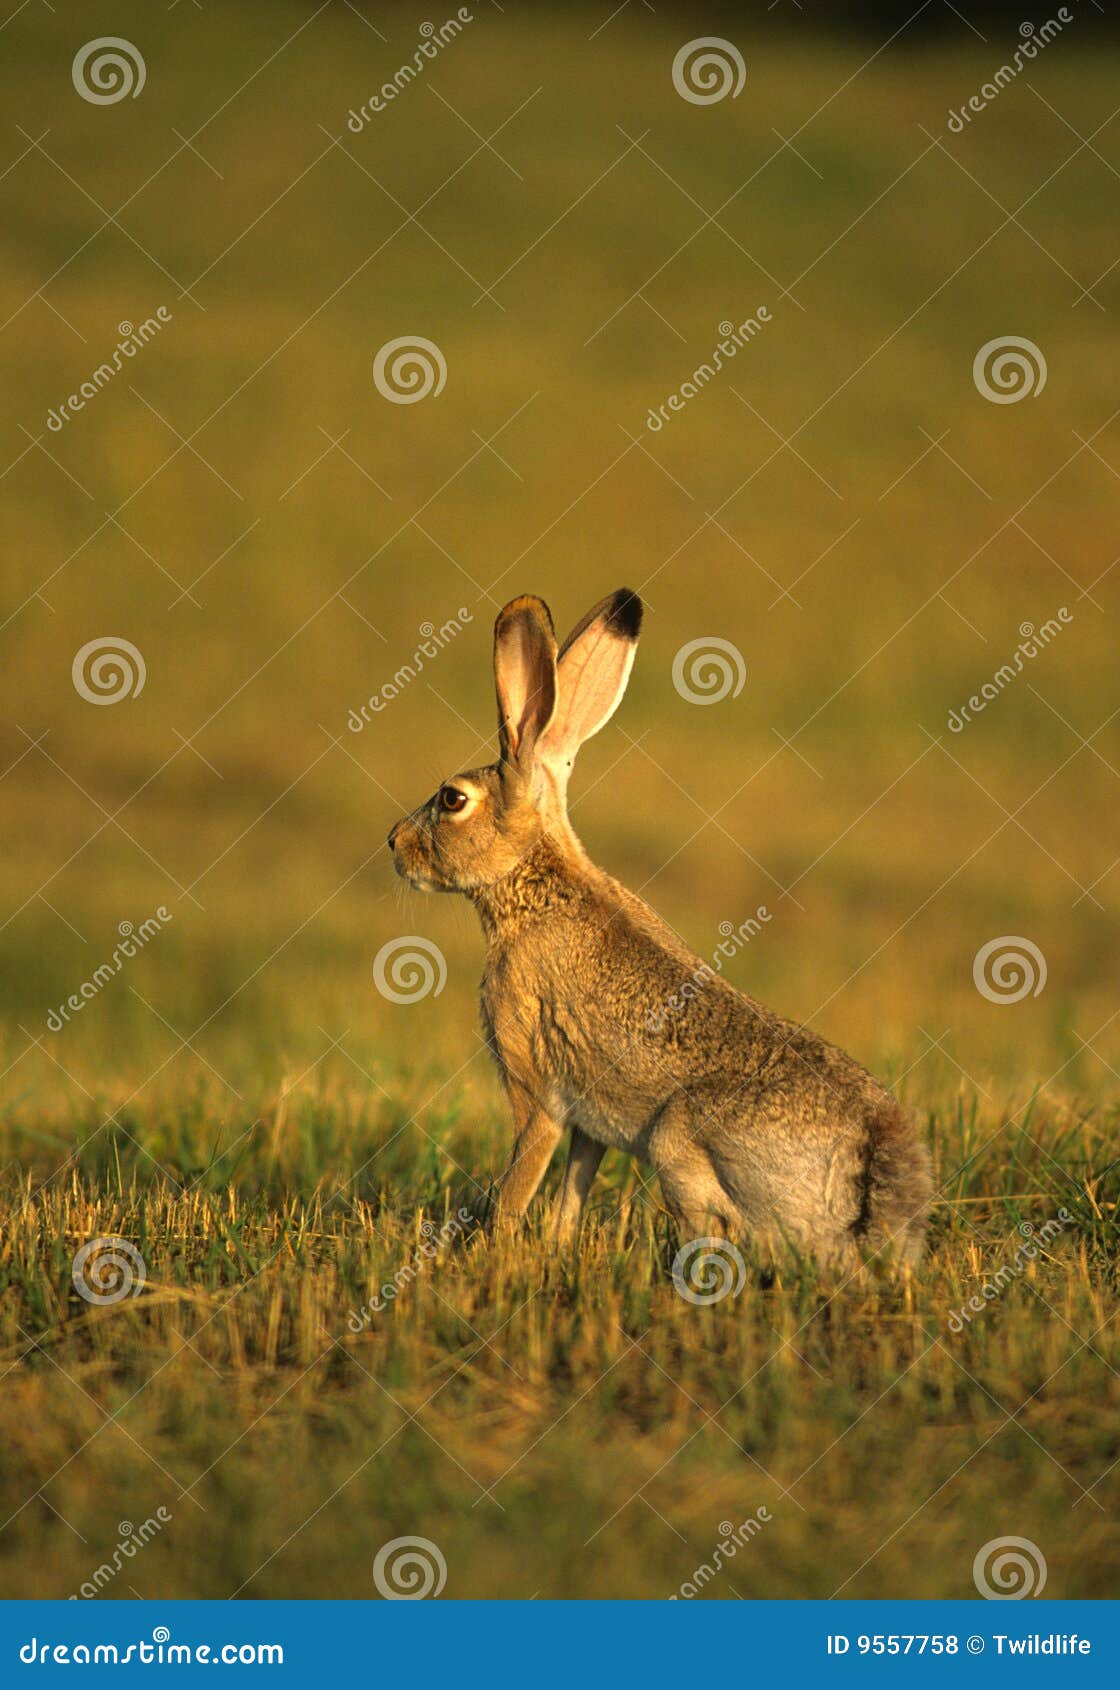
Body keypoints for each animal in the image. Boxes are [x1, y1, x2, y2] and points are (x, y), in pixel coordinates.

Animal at [387, 588, 931, 1269]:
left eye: (452, 800)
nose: (394, 844)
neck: (531, 880)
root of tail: (873, 1153)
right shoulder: (589, 1120)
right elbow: (573, 1184)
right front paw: (556, 1247)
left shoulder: (535, 1087)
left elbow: (521, 1176)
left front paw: (495, 1252)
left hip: (677, 1142)